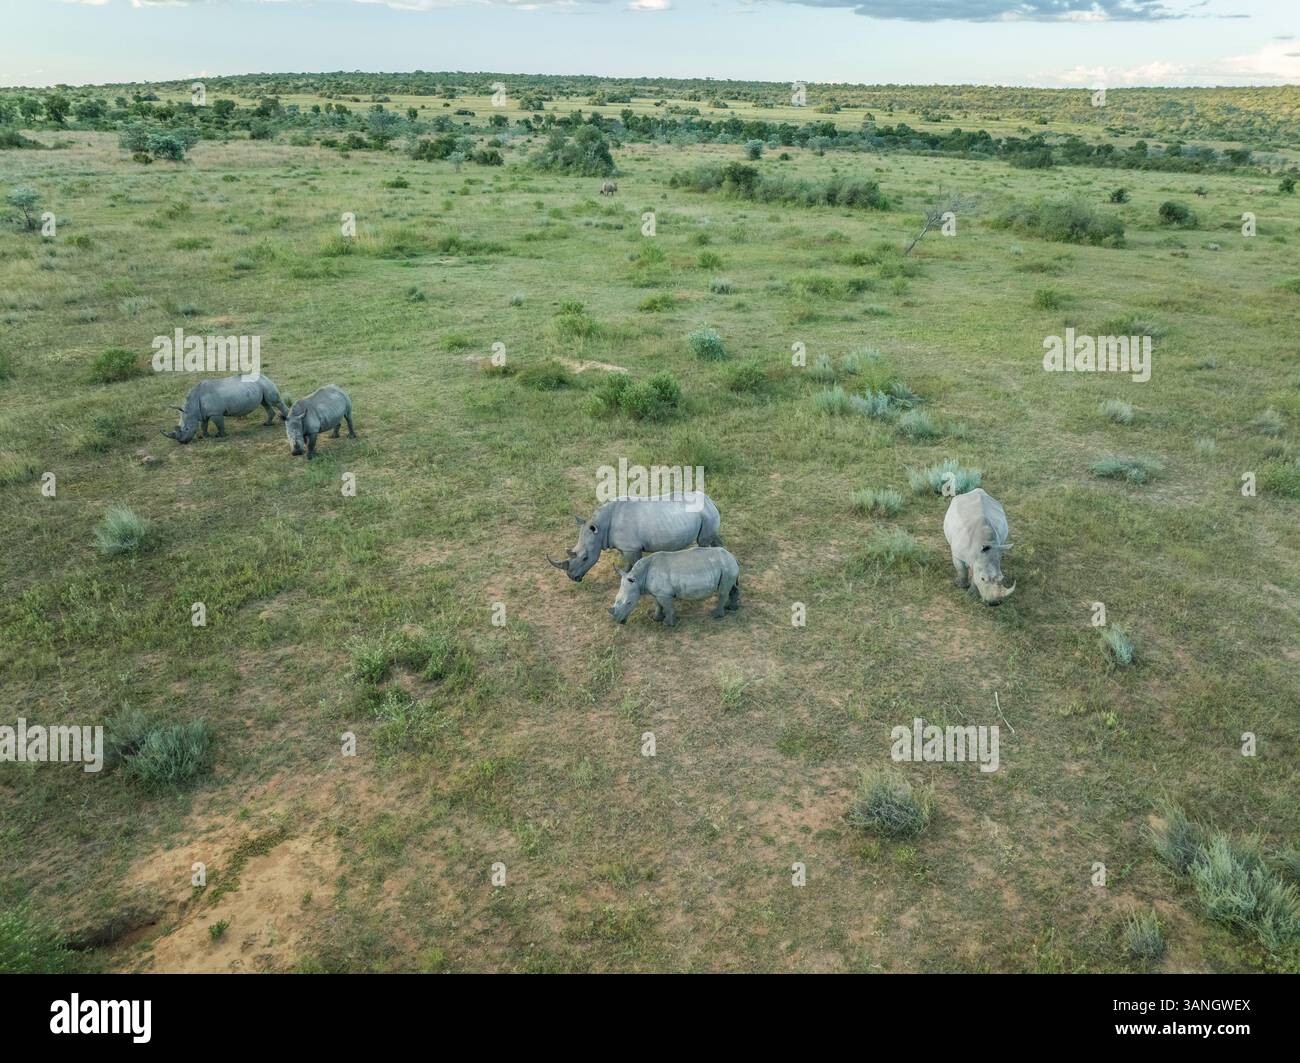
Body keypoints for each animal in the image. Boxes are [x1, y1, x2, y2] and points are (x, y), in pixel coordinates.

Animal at [548, 491, 723, 582]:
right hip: (706, 514)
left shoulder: (632, 547)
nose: (572, 577)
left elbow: (633, 563)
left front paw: (629, 577)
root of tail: (711, 500)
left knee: (703, 542)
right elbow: (627, 562)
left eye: (585, 558)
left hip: (705, 514)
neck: (600, 528)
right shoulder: (624, 547)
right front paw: (622, 572)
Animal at [608, 546, 740, 627]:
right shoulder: (657, 592)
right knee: (731, 588)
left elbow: (667, 607)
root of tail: (733, 557)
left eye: (629, 603)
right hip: (726, 568)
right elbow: (658, 604)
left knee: (723, 591)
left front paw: (668, 624)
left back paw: (716, 615)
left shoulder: (664, 594)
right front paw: (656, 618)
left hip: (726, 567)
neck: (639, 577)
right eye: (615, 599)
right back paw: (732, 608)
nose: (619, 621)